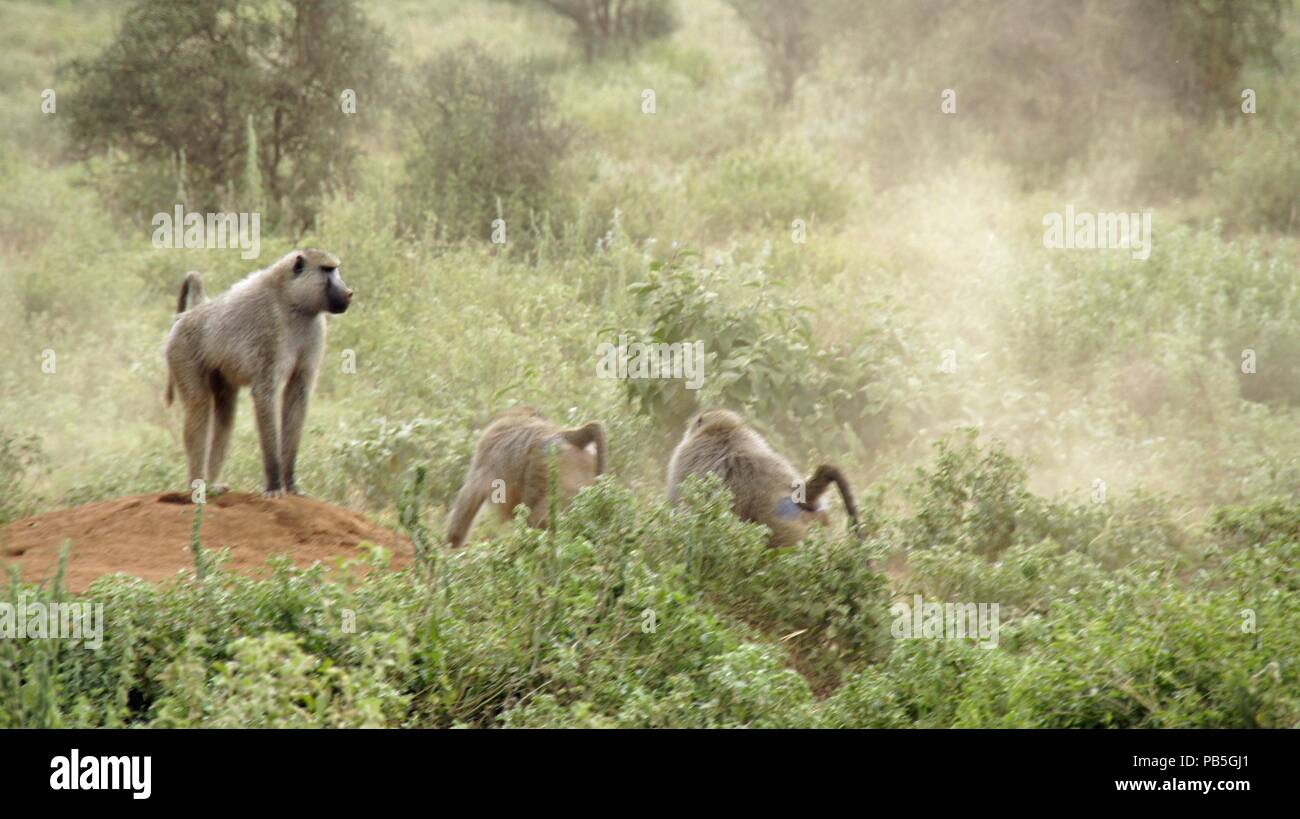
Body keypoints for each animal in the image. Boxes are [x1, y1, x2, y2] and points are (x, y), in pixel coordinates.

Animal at [163, 249, 352, 499]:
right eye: (327, 270)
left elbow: (297, 394)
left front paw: (290, 484)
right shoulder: (267, 327)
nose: (348, 293)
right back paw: (198, 485)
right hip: (182, 352)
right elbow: (265, 393)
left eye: (334, 269)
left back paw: (212, 484)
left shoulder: (314, 328)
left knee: (226, 411)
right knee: (199, 406)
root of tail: (190, 314)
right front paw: (273, 485)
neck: (292, 302)